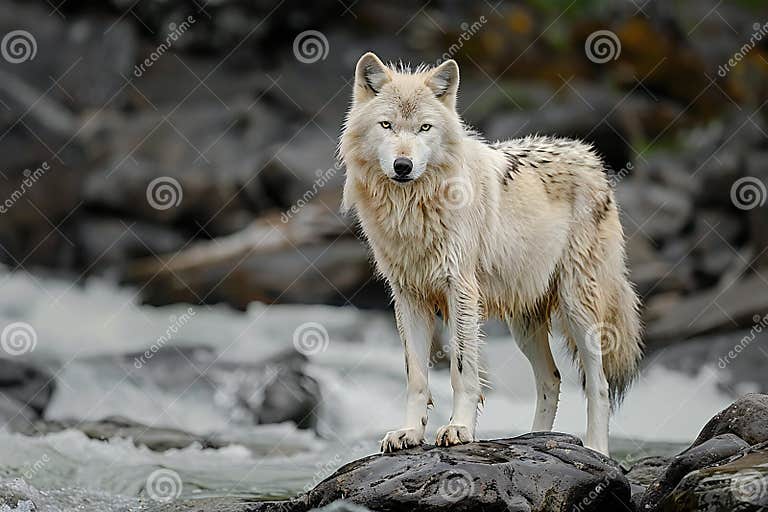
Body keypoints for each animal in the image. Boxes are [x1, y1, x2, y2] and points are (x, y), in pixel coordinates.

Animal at [338, 52, 643, 455]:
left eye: (424, 128)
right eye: (386, 125)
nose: (403, 166)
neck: (414, 208)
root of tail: (590, 156)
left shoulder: (461, 290)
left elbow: (462, 371)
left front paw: (459, 428)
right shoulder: (408, 297)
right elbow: (416, 377)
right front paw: (410, 434)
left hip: (579, 307)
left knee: (599, 384)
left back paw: (595, 451)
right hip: (524, 323)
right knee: (551, 380)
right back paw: (536, 440)